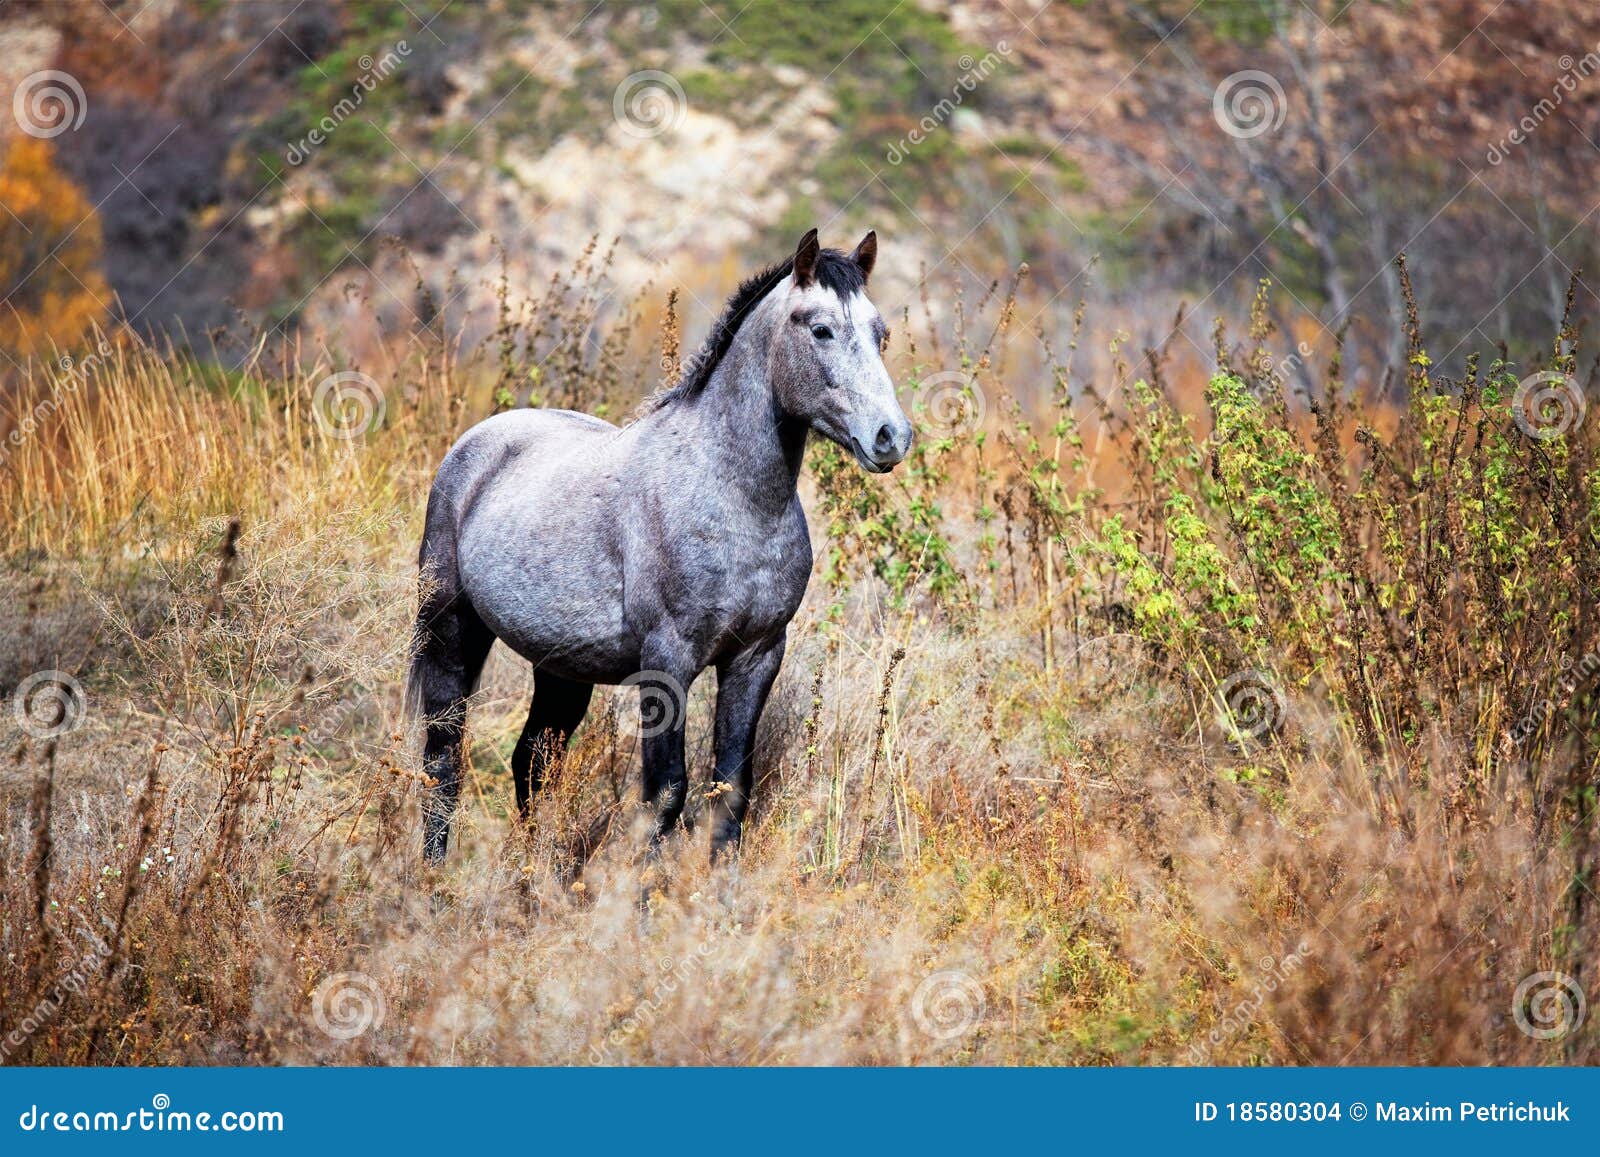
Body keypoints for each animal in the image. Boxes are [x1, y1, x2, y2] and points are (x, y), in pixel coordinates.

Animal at [409, 228, 912, 863]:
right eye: (819, 328)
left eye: (880, 333)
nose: (891, 437)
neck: (733, 499)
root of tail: (475, 446)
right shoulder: (667, 664)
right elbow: (666, 793)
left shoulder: (757, 657)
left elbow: (731, 789)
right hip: (451, 634)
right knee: (443, 759)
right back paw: (435, 873)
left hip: (561, 669)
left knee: (532, 764)